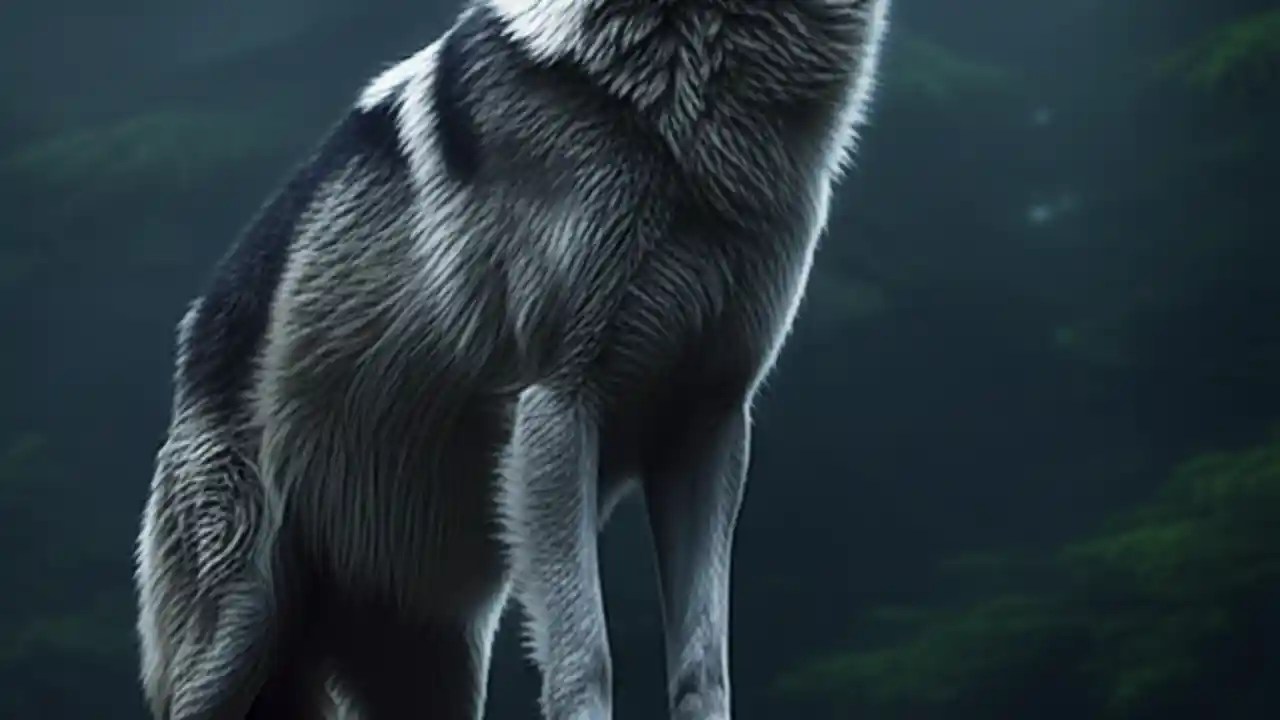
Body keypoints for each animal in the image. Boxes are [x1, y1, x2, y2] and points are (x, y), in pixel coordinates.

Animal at [134, 1, 891, 718]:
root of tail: (192, 346)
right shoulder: (557, 405)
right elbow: (586, 658)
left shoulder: (709, 427)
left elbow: (704, 669)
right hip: (240, 634)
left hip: (435, 675)